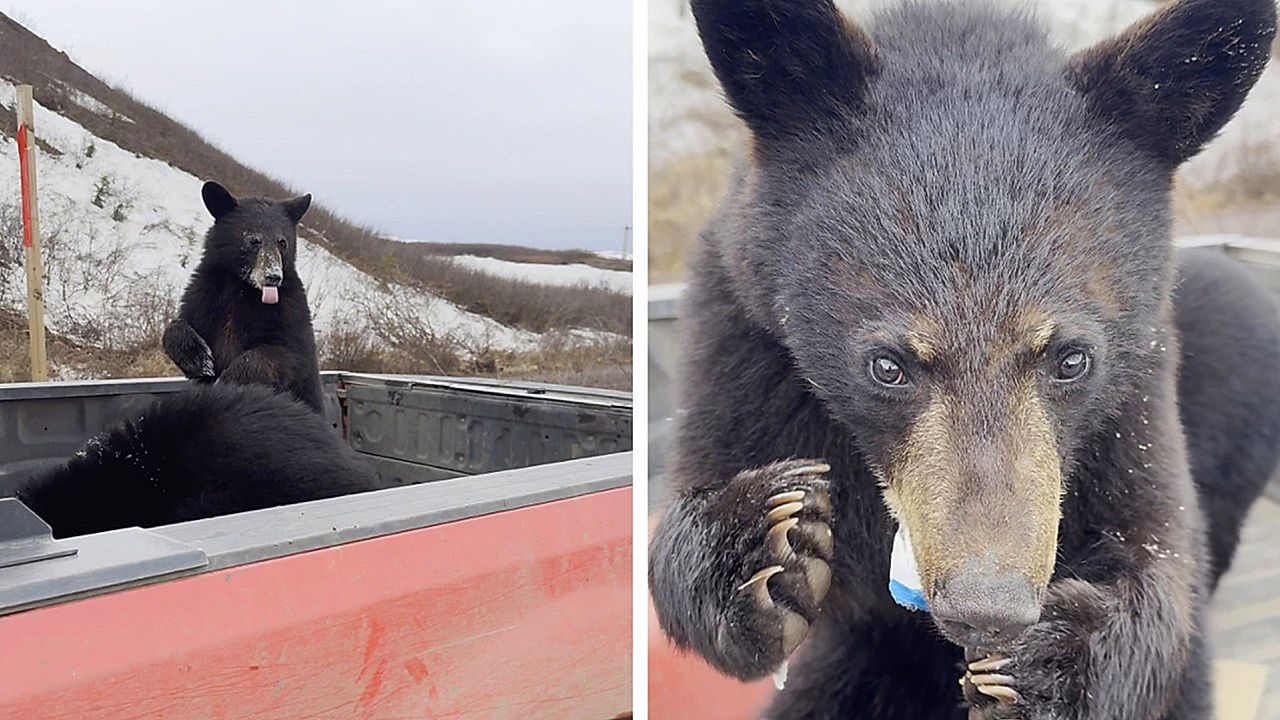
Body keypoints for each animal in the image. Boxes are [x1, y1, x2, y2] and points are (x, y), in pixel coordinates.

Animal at [163, 181, 323, 413]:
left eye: (282, 242)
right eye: (253, 240)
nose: (273, 276)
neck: (241, 289)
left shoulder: (290, 311)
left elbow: (288, 353)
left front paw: (231, 379)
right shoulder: (203, 297)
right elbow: (178, 324)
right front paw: (199, 359)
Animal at [648, 1, 1280, 719]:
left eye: (1073, 359)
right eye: (886, 365)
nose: (989, 613)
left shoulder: (1136, 396)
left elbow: (1163, 563)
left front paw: (1045, 666)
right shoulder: (743, 346)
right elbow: (695, 494)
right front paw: (766, 541)